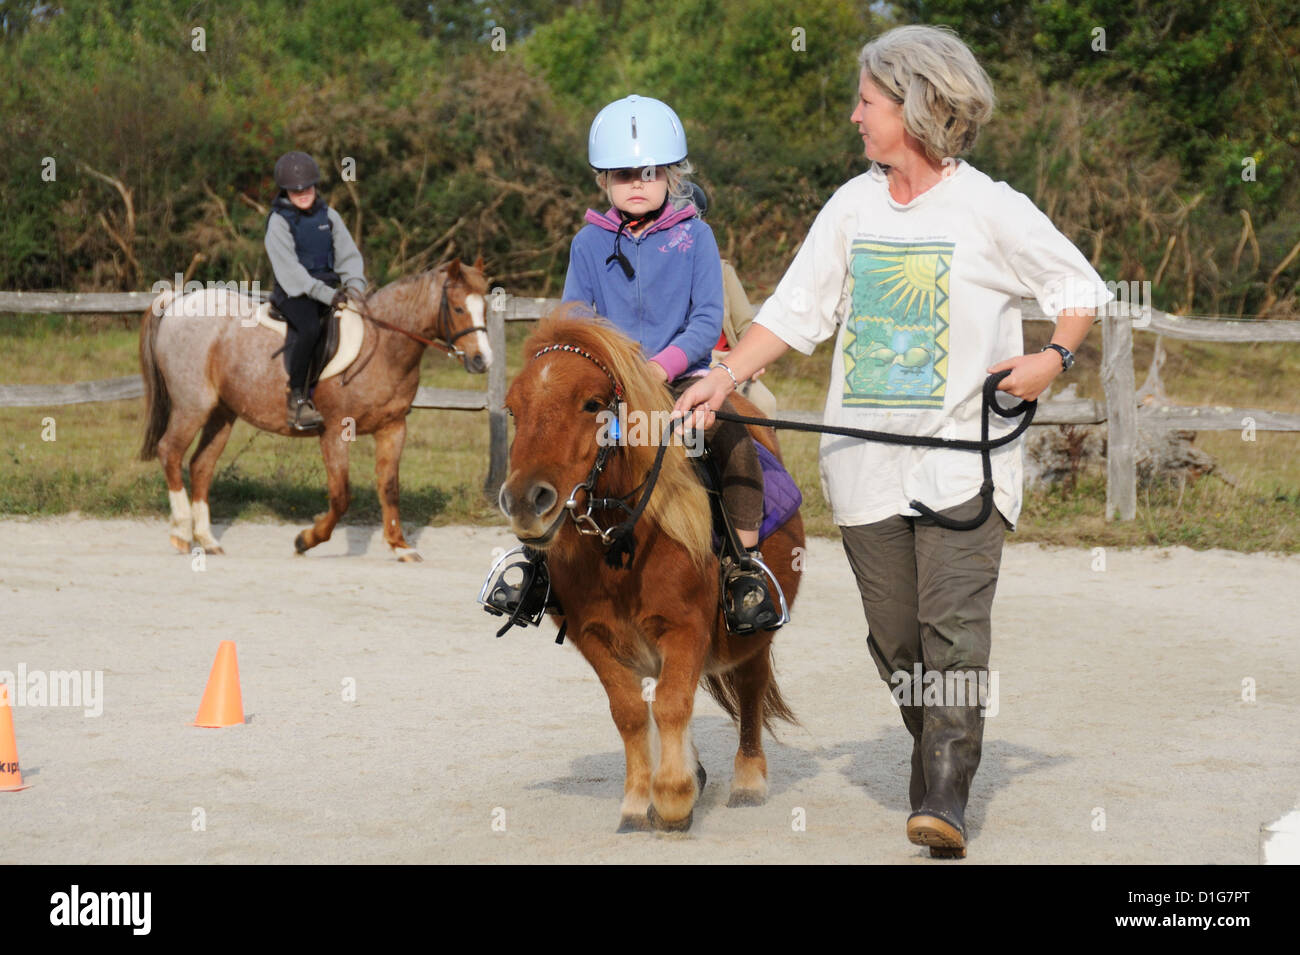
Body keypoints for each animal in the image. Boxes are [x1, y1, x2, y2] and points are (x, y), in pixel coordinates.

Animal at [139, 258, 491, 561]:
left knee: (201, 465)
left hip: (221, 413)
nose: (482, 361)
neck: (383, 347)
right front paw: (305, 540)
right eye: (458, 308)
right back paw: (182, 534)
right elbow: (341, 495)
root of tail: (179, 302)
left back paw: (208, 540)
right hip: (192, 405)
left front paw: (400, 546)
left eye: (486, 307)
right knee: (170, 452)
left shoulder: (393, 428)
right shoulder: (335, 431)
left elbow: (389, 488)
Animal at [498, 308, 804, 831]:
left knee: (750, 688)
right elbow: (632, 714)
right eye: (514, 409)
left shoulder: (685, 629)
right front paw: (640, 802)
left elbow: (673, 704)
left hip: (752, 638)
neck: (622, 545)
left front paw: (674, 795)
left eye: (593, 404)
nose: (525, 501)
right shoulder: (595, 637)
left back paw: (747, 781)